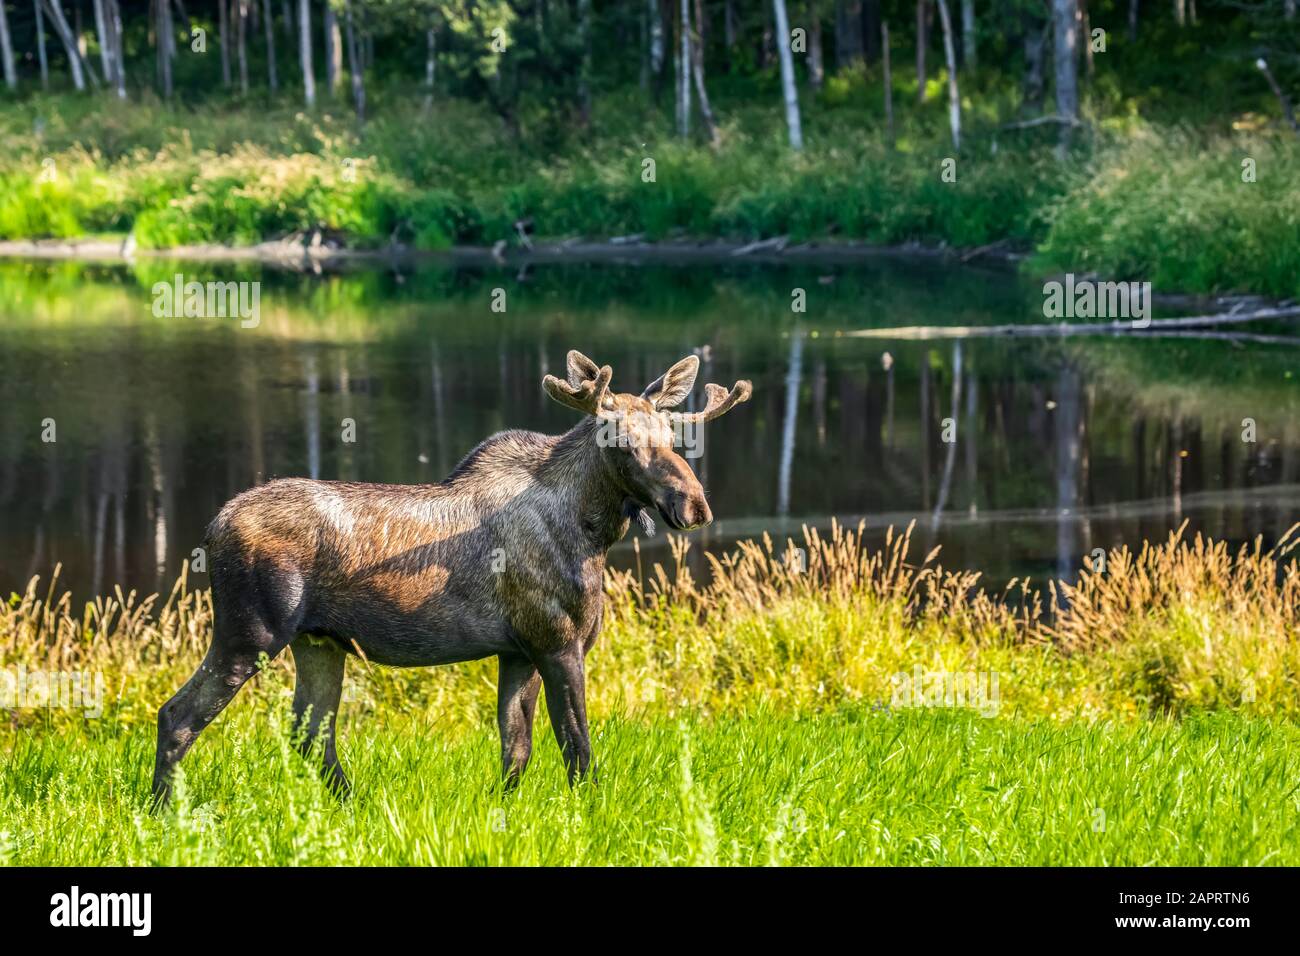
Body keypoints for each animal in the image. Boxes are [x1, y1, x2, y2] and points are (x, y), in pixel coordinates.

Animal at [151, 350, 752, 803]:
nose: (694, 504)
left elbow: (516, 749)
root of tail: (212, 528)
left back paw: (355, 806)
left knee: (311, 732)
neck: (592, 534)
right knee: (179, 714)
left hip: (318, 642)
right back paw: (163, 810)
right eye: (620, 442)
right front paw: (590, 812)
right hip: (249, 632)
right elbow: (577, 747)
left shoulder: (517, 650)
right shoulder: (557, 642)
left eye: (672, 437)